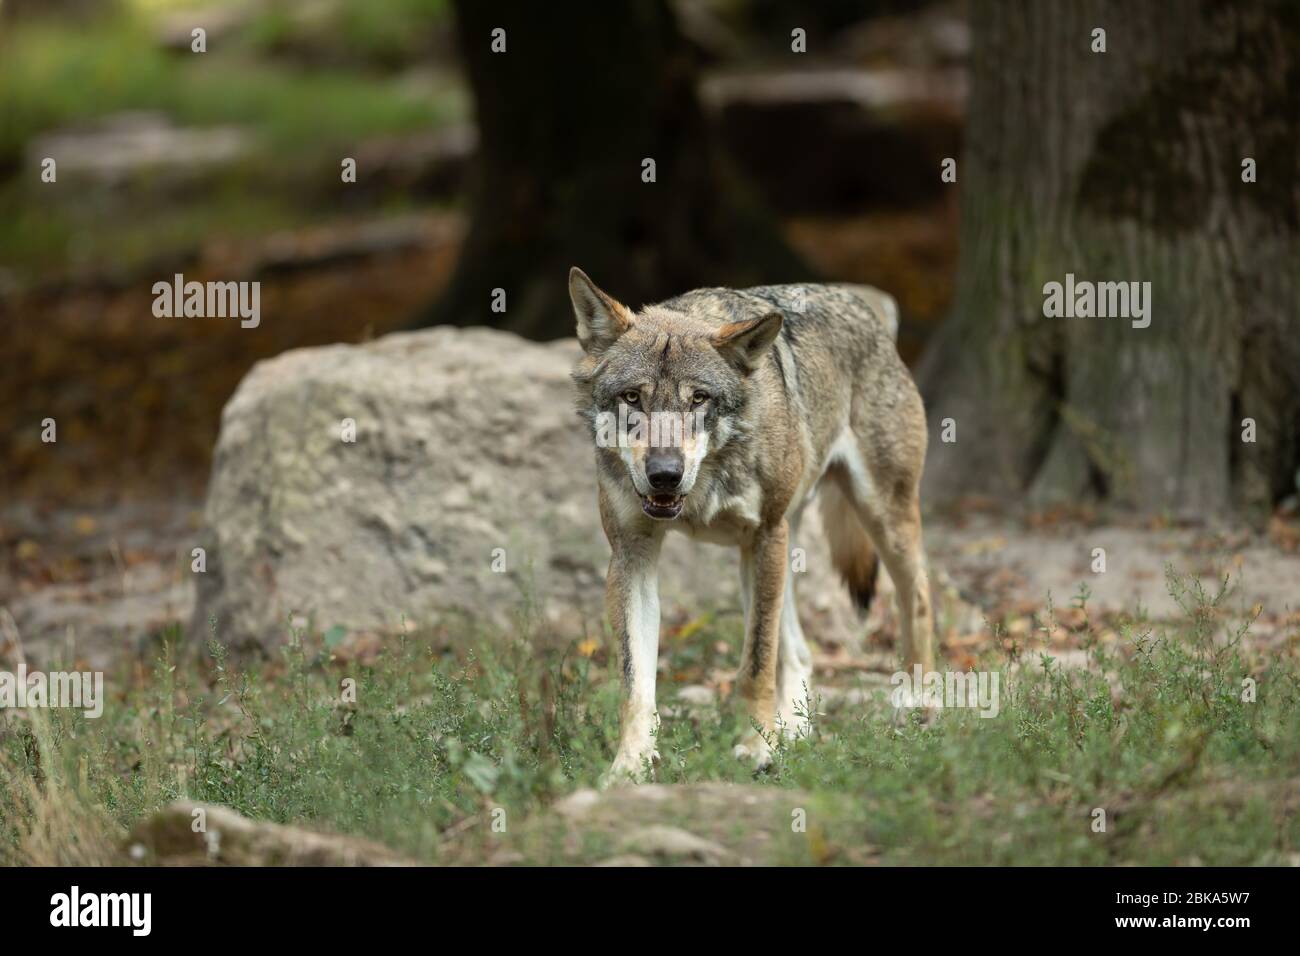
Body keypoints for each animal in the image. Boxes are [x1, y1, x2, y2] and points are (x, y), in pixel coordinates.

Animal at [569, 267, 934, 784]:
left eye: (699, 399)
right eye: (632, 398)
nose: (665, 474)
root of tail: (864, 303)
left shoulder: (764, 536)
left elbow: (756, 664)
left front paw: (757, 748)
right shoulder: (631, 556)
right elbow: (636, 682)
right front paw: (630, 767)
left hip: (878, 517)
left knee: (918, 595)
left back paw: (917, 703)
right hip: (781, 549)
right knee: (801, 651)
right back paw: (794, 732)